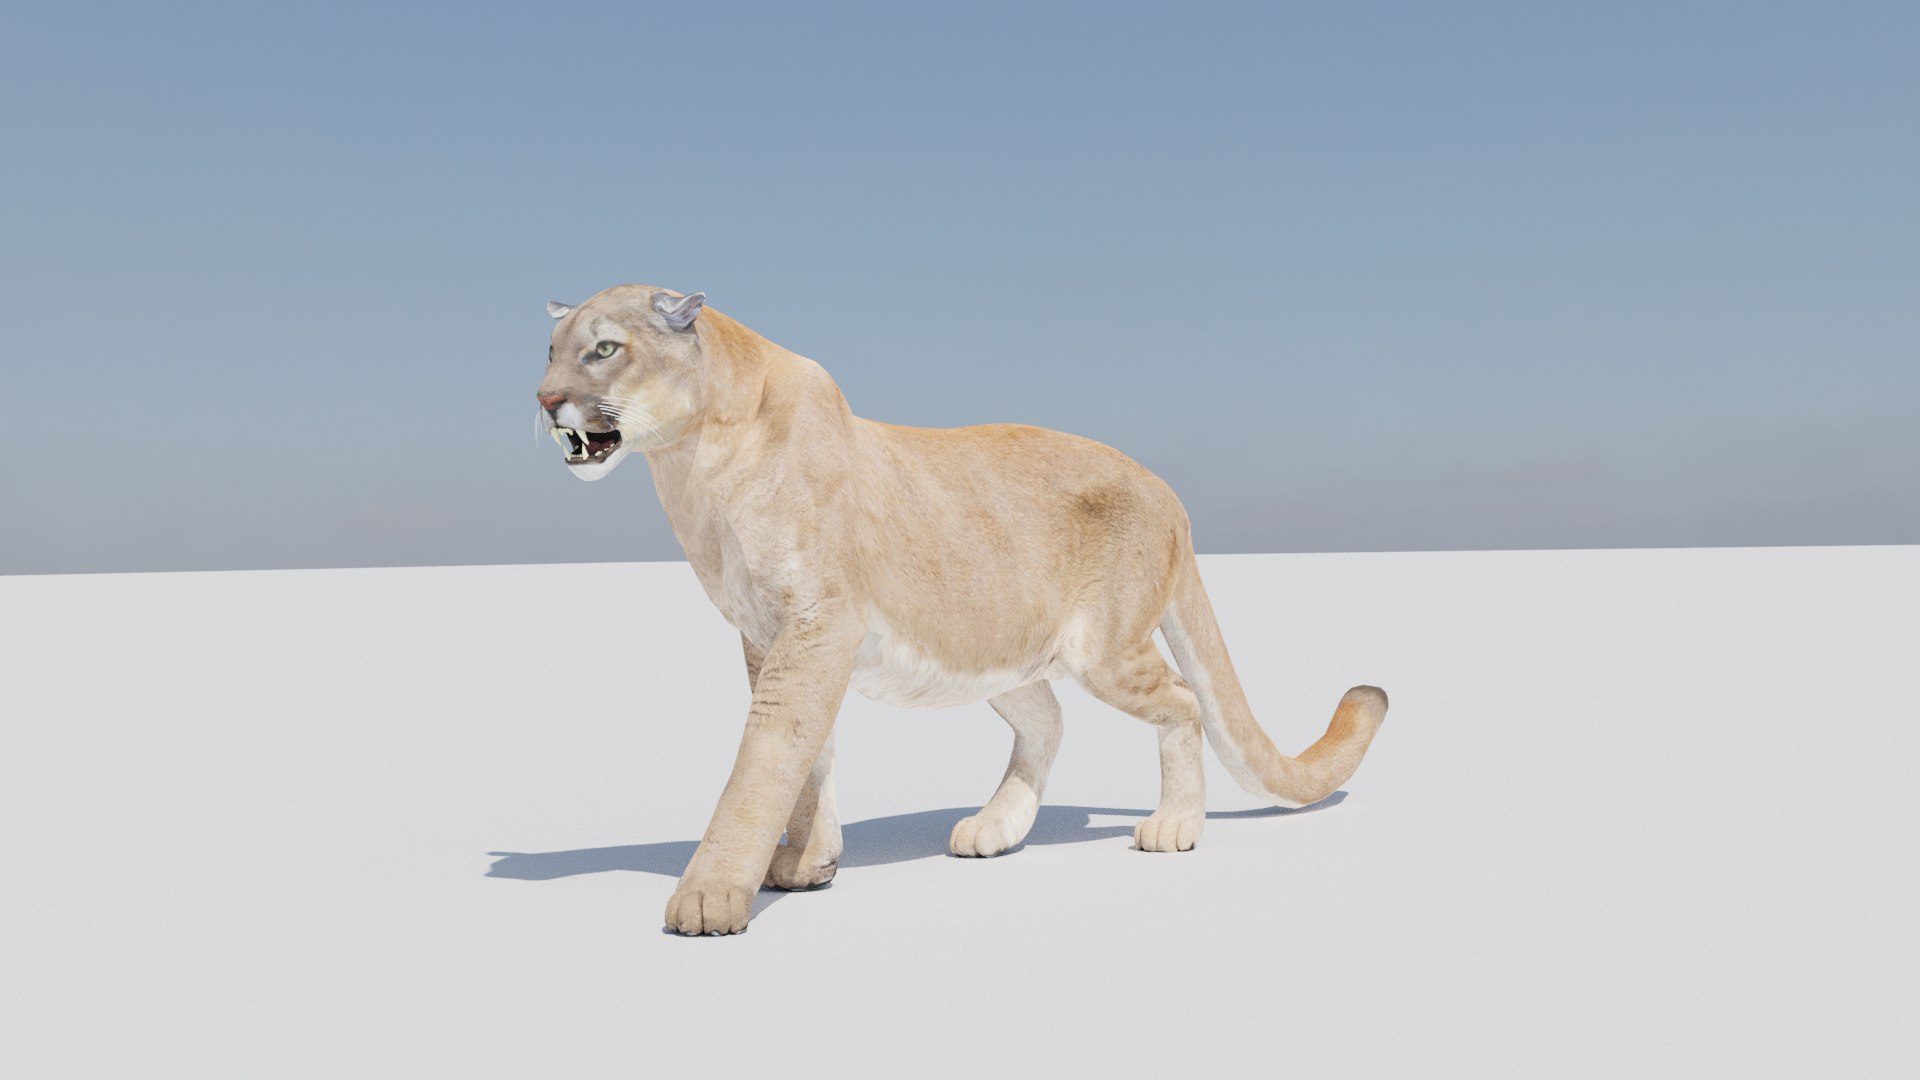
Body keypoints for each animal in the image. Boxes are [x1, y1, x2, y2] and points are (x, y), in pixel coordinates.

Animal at [534, 285, 1388, 935]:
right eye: (547, 351)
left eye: (603, 349)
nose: (544, 401)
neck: (692, 465)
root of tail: (1164, 486)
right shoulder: (770, 636)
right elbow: (812, 757)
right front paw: (809, 865)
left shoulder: (814, 625)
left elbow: (766, 758)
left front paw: (710, 896)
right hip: (996, 649)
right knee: (1049, 719)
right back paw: (996, 828)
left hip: (1104, 649)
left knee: (1180, 700)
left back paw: (1174, 827)